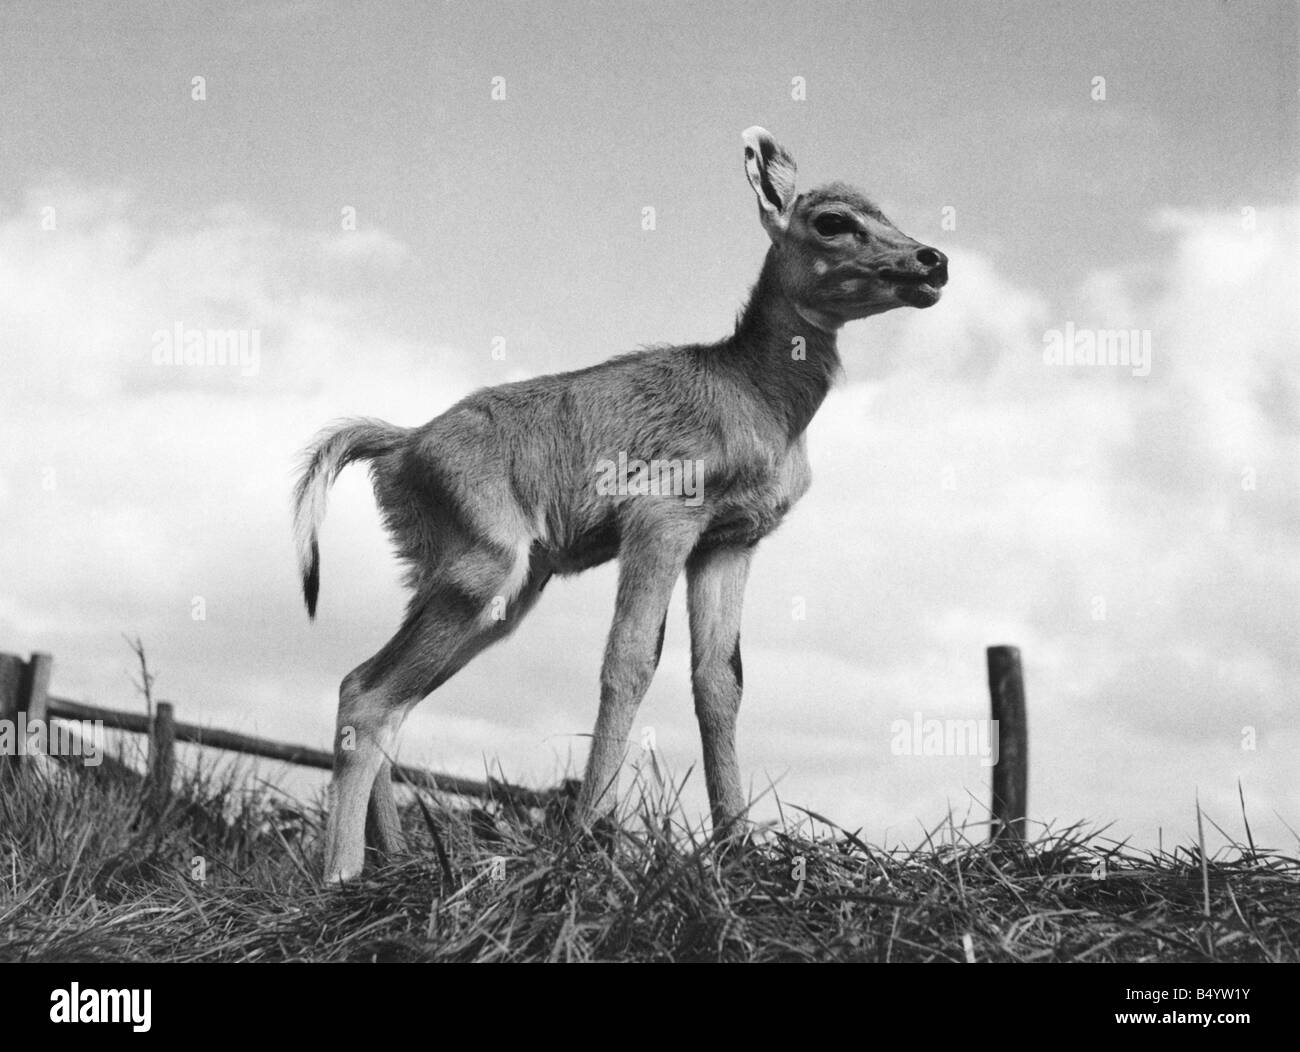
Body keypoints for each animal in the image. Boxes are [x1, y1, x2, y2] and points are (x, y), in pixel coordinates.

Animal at [294, 127, 948, 882]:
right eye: (833, 220)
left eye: (885, 213)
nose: (933, 261)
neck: (757, 399)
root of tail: (402, 443)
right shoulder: (661, 521)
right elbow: (630, 660)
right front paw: (584, 843)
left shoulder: (730, 541)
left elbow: (719, 680)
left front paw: (737, 848)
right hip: (481, 574)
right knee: (369, 699)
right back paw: (341, 877)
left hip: (494, 592)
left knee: (370, 688)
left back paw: (394, 864)